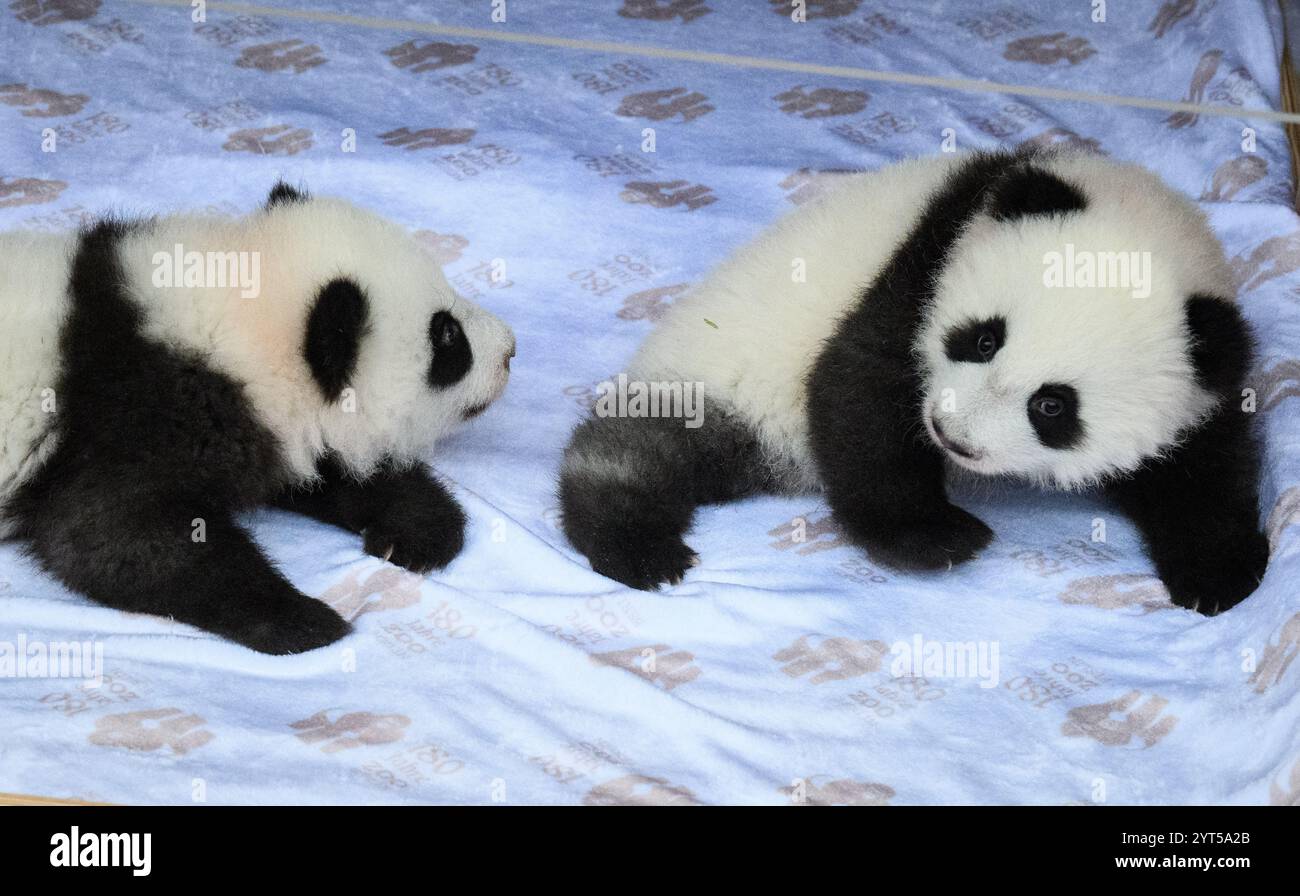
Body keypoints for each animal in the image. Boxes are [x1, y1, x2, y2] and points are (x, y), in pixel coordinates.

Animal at [0, 183, 515, 653]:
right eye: (447, 335)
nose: (511, 350)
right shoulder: (132, 416)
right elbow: (109, 537)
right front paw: (302, 620)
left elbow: (325, 469)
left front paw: (419, 529)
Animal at [560, 149, 1269, 615]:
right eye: (983, 338)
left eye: (1053, 406)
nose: (949, 435)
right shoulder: (927, 258)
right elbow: (857, 389)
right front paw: (934, 536)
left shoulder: (1206, 372)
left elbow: (1202, 466)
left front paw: (1218, 572)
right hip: (714, 374)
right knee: (639, 454)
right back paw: (639, 546)